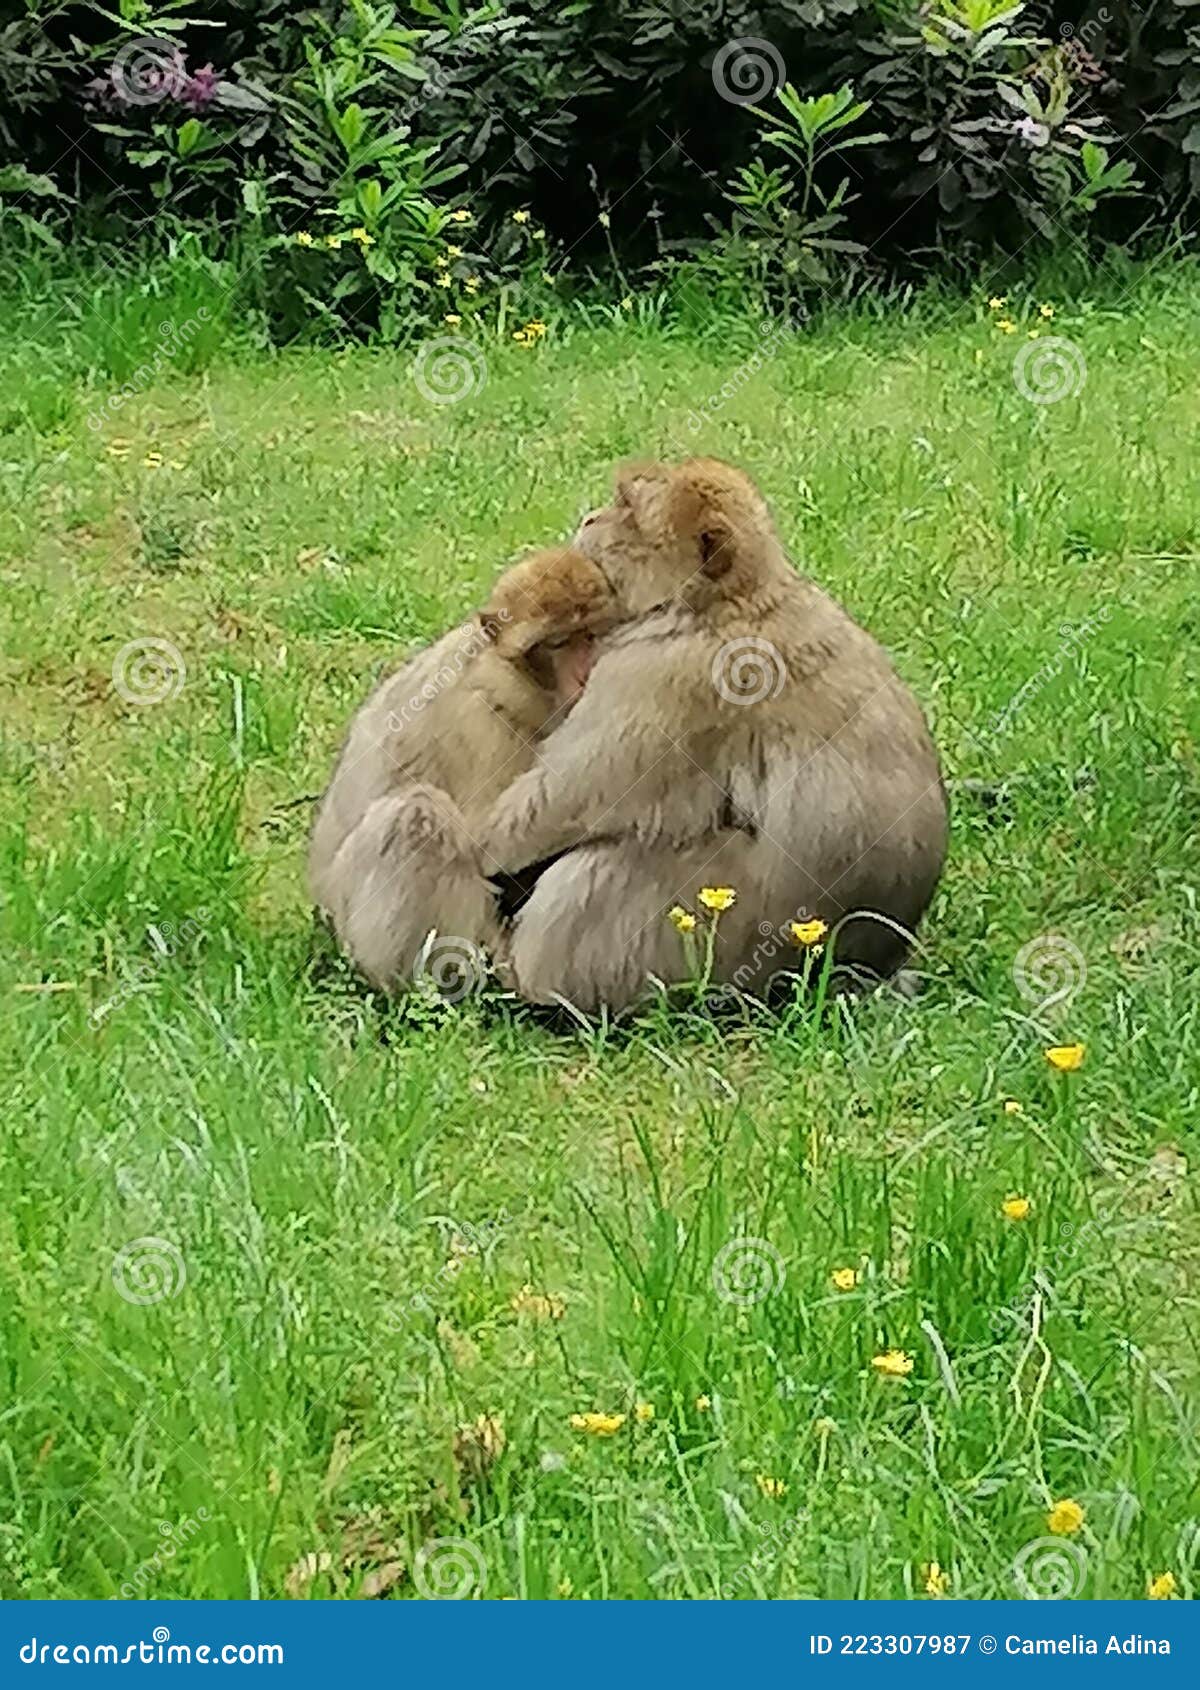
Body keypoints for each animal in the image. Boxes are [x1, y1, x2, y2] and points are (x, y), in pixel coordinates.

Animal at [308, 546, 619, 991]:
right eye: (558, 643)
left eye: (593, 633)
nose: (584, 673)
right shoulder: (478, 723)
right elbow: (488, 848)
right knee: (419, 816)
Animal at [483, 457, 948, 1013]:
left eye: (627, 509)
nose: (591, 518)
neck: (730, 602)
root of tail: (852, 970)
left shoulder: (655, 678)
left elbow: (543, 815)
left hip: (699, 931)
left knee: (598, 873)